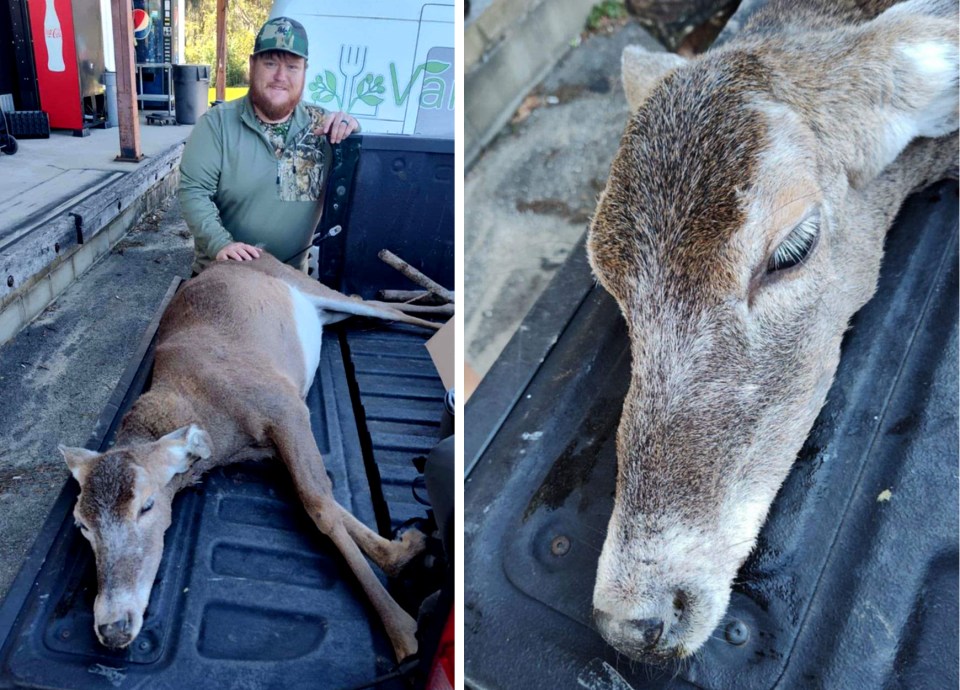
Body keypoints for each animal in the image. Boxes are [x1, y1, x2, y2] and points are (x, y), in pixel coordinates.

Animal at [57, 252, 441, 662]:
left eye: (146, 505)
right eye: (82, 524)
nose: (113, 628)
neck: (212, 416)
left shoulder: (285, 405)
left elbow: (319, 504)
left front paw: (403, 633)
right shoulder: (270, 447)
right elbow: (325, 499)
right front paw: (406, 549)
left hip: (304, 284)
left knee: (378, 307)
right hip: (326, 313)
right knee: (367, 303)